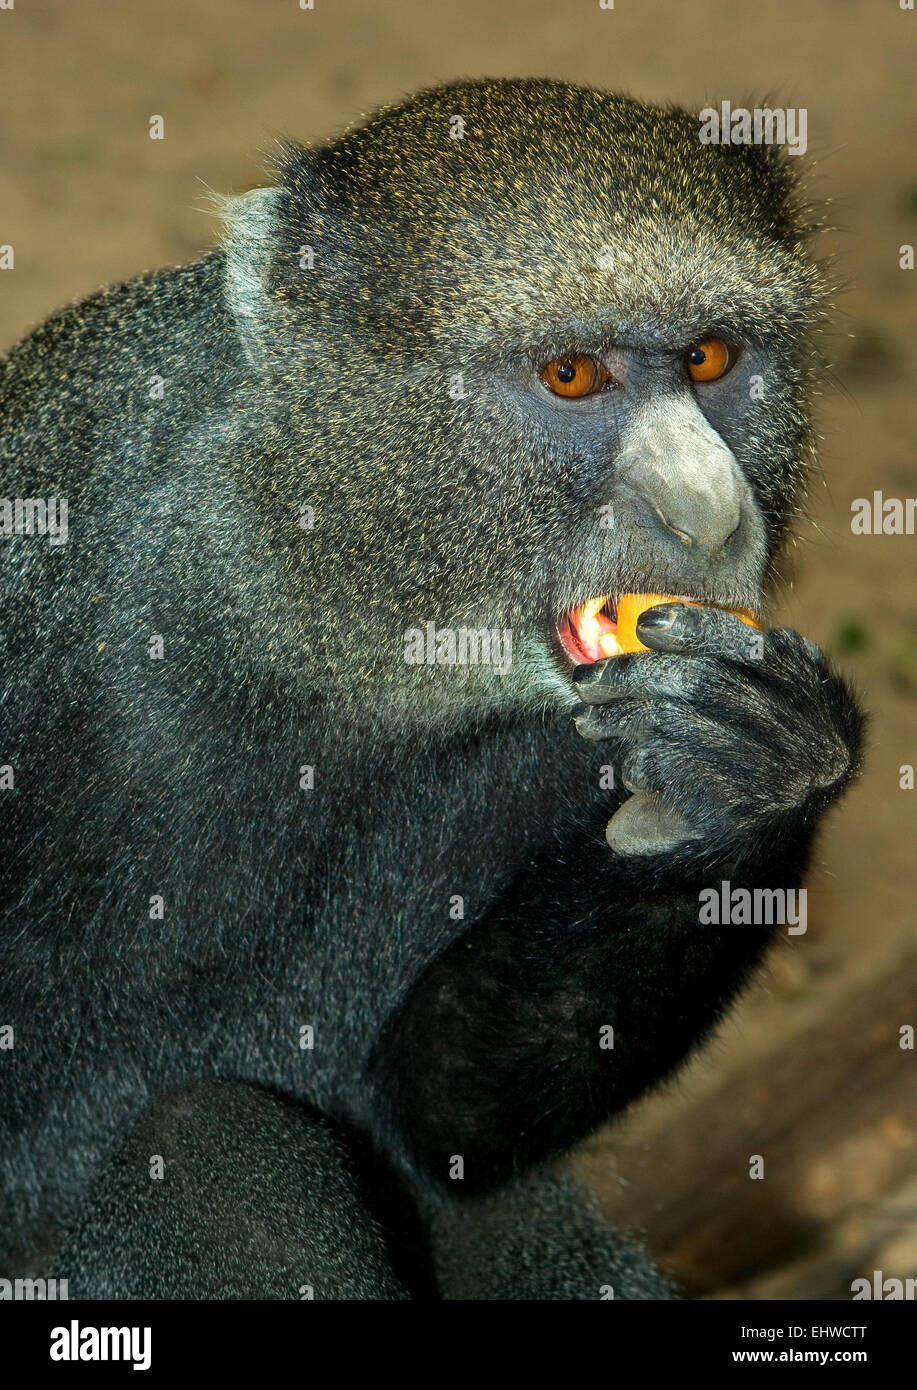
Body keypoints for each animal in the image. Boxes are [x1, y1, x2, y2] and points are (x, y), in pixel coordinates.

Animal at [0, 78, 863, 1300]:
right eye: (570, 375)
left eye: (707, 358)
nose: (705, 510)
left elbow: (447, 1120)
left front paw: (750, 777)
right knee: (216, 1142)